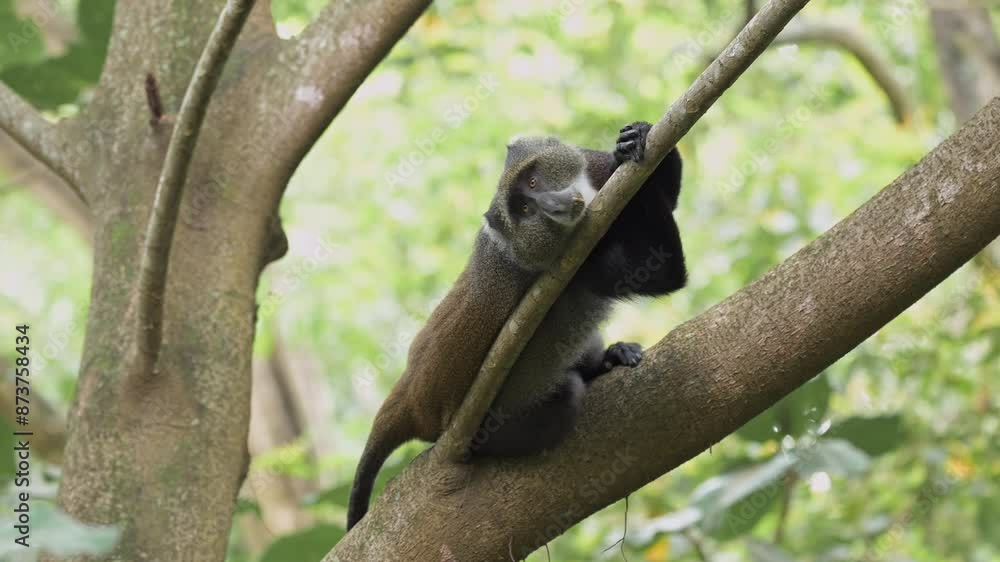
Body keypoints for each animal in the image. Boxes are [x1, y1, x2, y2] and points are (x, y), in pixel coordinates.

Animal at [346, 121, 686, 529]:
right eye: (525, 209)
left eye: (534, 183)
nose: (552, 205)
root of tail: (411, 400)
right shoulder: (564, 268)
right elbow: (663, 269)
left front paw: (634, 140)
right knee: (565, 396)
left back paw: (610, 358)